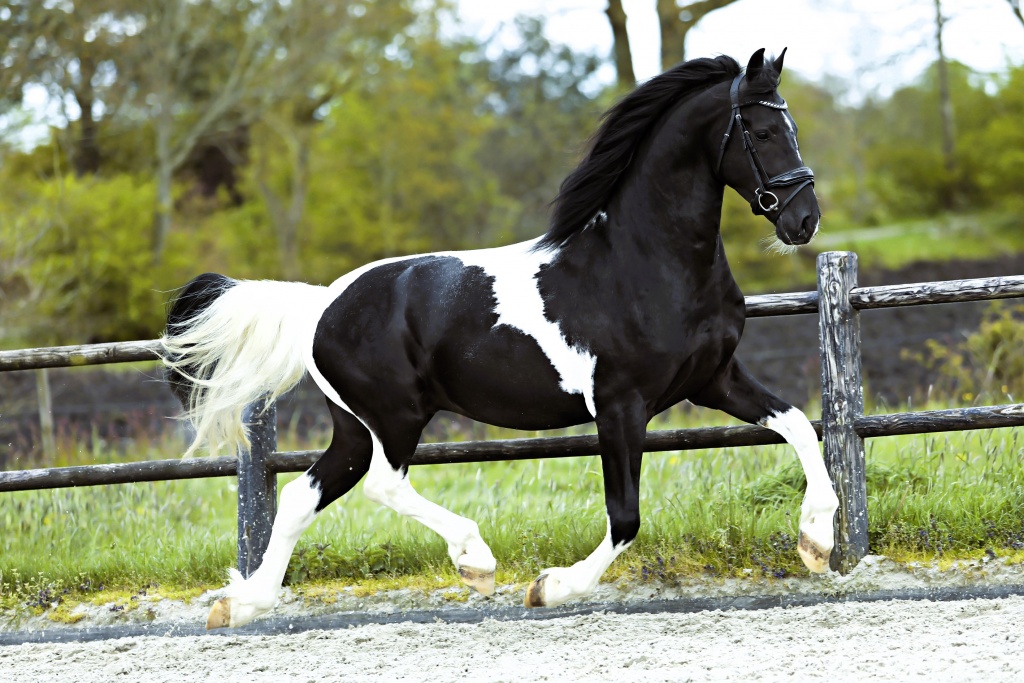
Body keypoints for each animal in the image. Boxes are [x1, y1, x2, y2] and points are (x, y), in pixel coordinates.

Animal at [162, 48, 838, 630]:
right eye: (762, 131)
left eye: (790, 125)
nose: (803, 220)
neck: (642, 264)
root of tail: (323, 303)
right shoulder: (621, 404)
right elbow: (625, 517)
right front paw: (550, 587)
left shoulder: (715, 378)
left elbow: (799, 425)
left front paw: (818, 542)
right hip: (395, 416)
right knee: (383, 484)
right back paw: (476, 560)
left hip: (355, 426)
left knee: (304, 495)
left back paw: (239, 604)